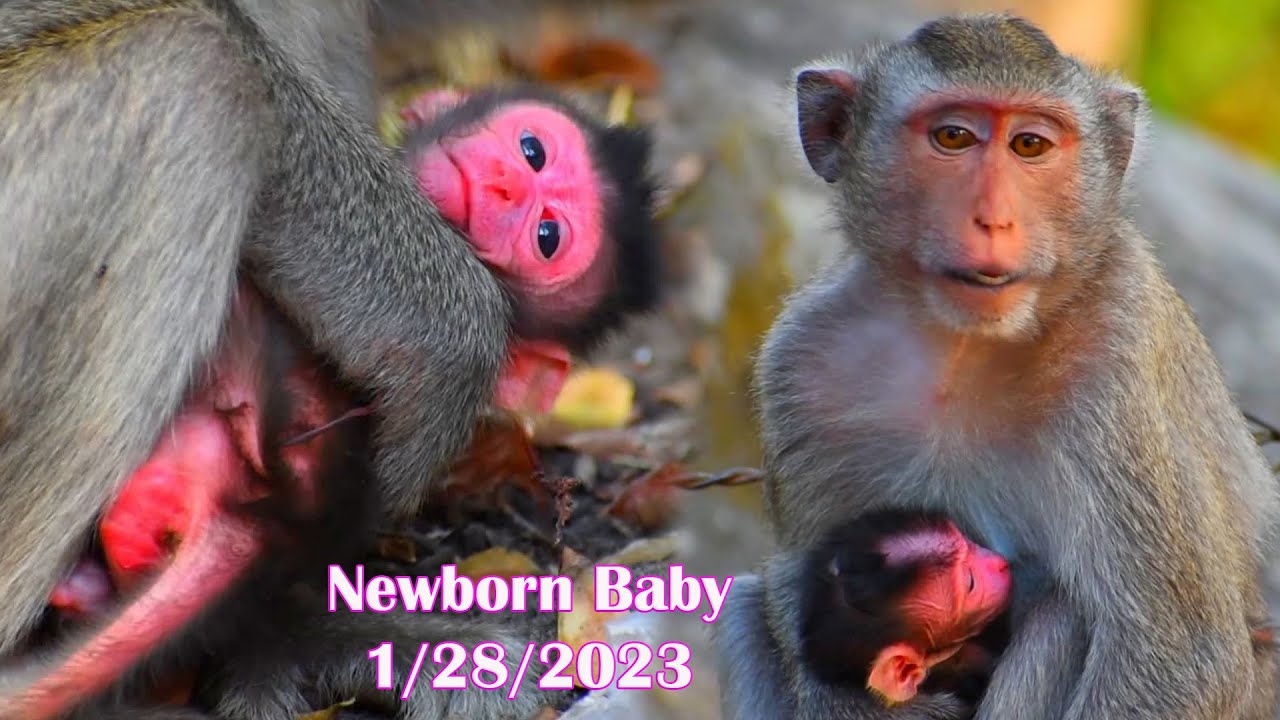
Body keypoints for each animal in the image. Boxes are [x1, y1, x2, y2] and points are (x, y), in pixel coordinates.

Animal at [730, 12, 1280, 720]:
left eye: (1030, 146)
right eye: (953, 137)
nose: (993, 219)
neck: (965, 345)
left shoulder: (1121, 345)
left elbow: (1182, 652)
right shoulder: (800, 361)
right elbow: (799, 592)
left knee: (1062, 616)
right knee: (746, 606)